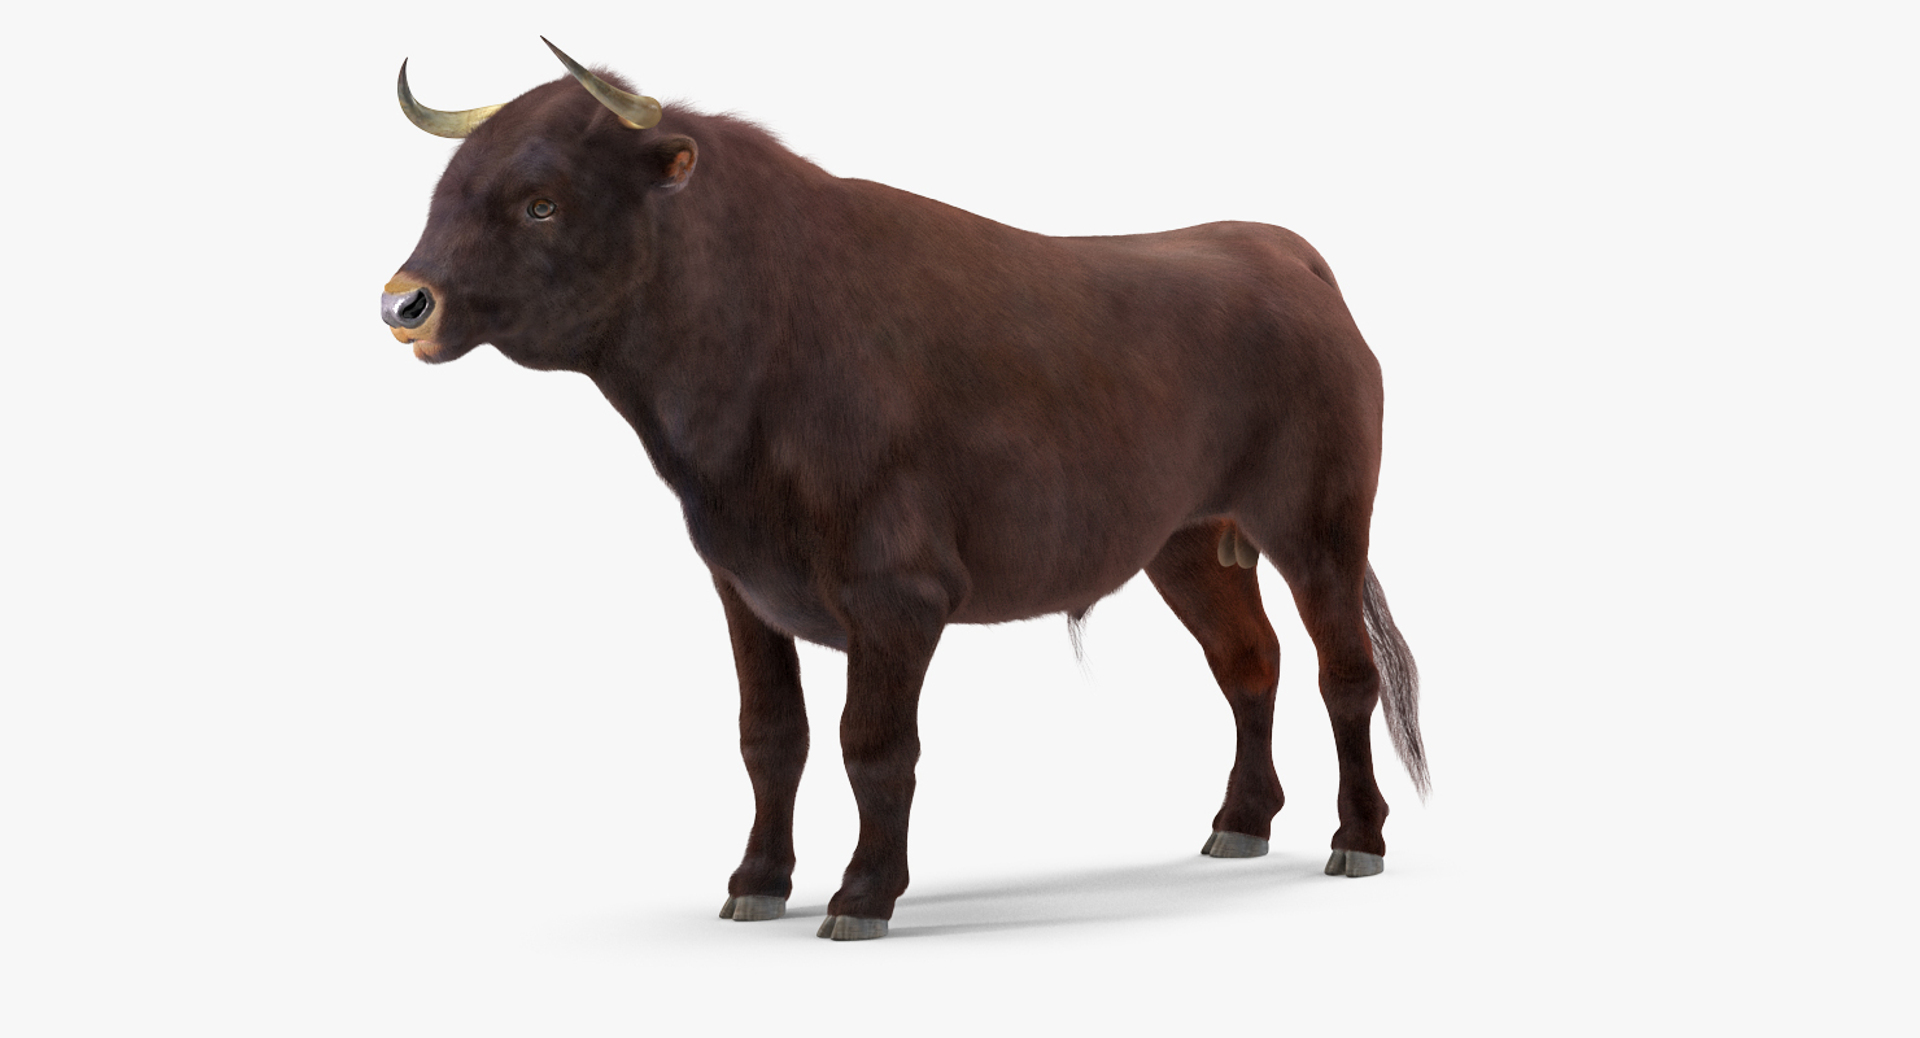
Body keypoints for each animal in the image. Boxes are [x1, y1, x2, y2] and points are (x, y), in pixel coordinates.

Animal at [381, 39, 1428, 941]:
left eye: (541, 204)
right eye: (450, 189)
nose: (404, 303)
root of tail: (1277, 250)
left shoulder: (898, 595)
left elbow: (874, 745)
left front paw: (863, 895)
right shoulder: (742, 586)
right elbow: (772, 737)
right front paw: (757, 882)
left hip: (1320, 528)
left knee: (1344, 672)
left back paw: (1357, 837)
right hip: (1188, 543)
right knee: (1248, 662)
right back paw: (1240, 822)